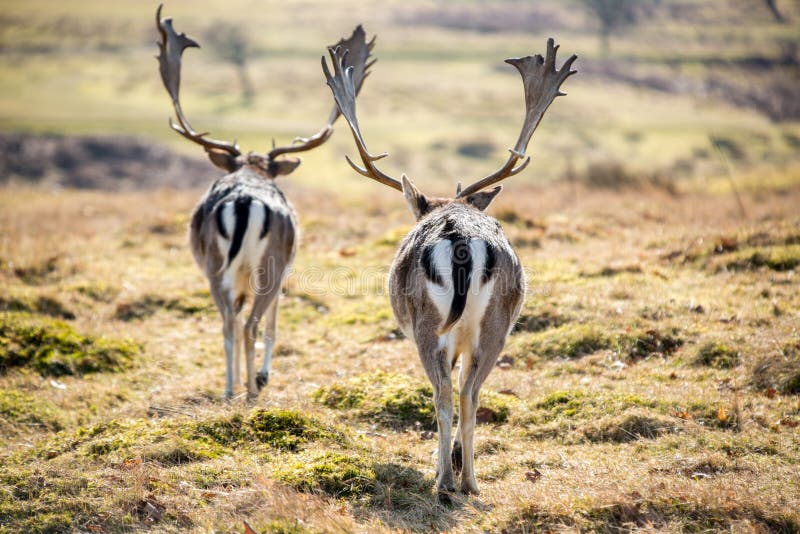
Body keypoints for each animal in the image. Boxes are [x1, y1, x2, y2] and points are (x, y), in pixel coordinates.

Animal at [155, 5, 375, 400]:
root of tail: (244, 202)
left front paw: (246, 379)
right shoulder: (286, 266)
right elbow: (273, 323)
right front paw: (260, 376)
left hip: (216, 266)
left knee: (229, 322)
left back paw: (230, 390)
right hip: (269, 265)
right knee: (251, 323)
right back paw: (251, 391)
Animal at [322, 38, 576, 501]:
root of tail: (460, 238)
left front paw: (445, 466)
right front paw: (457, 461)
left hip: (427, 324)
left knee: (443, 392)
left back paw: (443, 482)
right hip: (496, 323)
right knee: (470, 392)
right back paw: (470, 481)